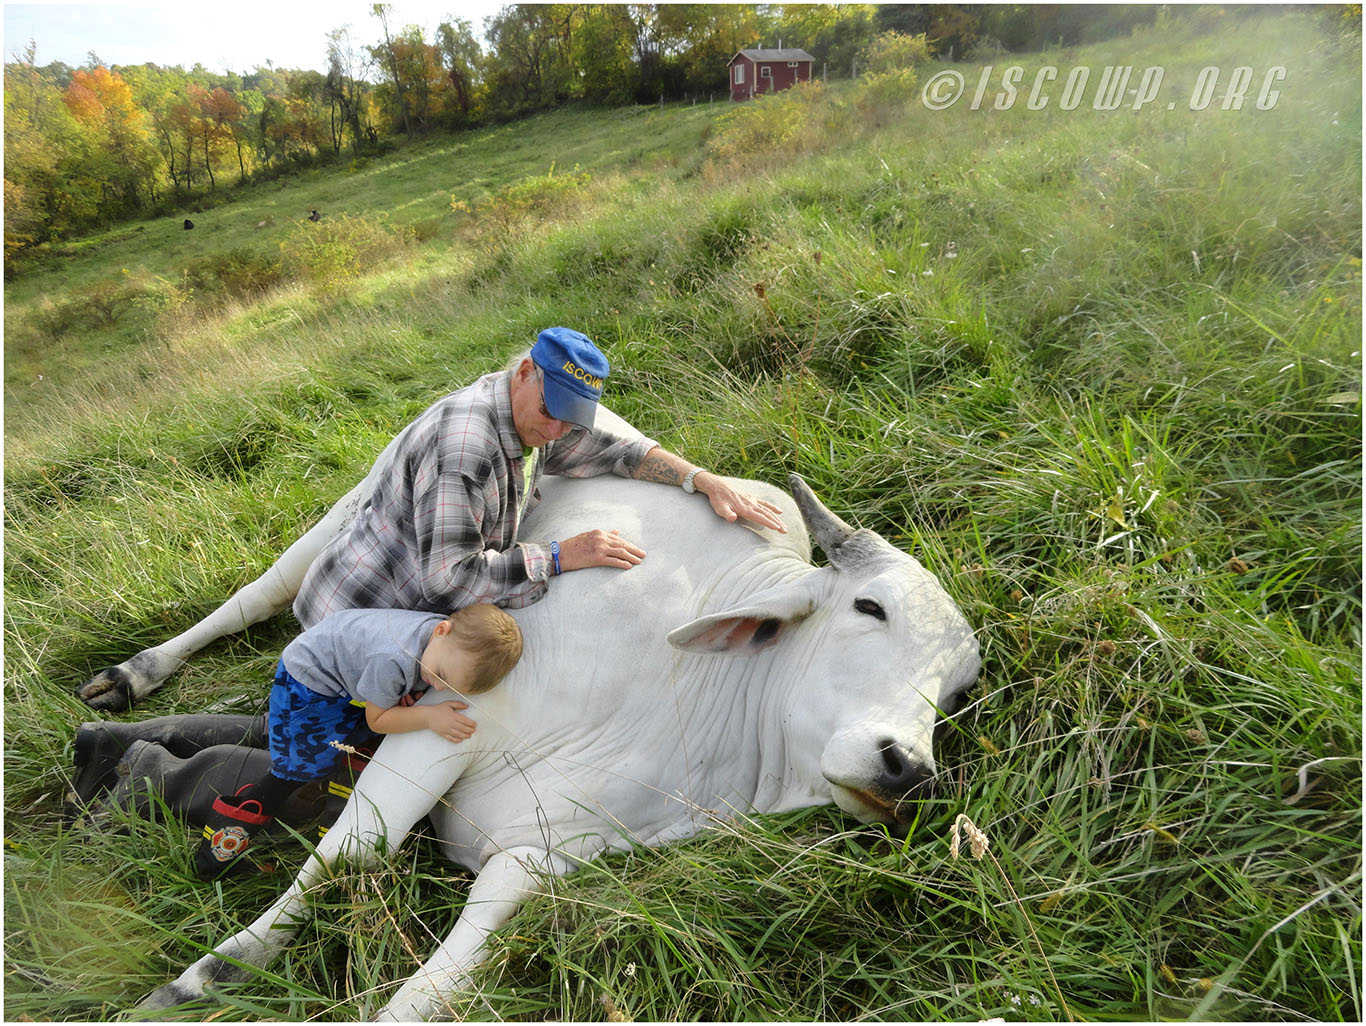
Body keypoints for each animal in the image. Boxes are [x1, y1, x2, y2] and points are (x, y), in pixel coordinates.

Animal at [122, 463, 979, 1020]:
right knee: (256, 596)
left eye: (959, 690)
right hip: (345, 515)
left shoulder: (544, 854)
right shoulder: (447, 720)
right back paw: (136, 674)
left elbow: (440, 982)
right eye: (869, 607)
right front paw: (207, 976)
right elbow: (352, 855)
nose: (909, 771)